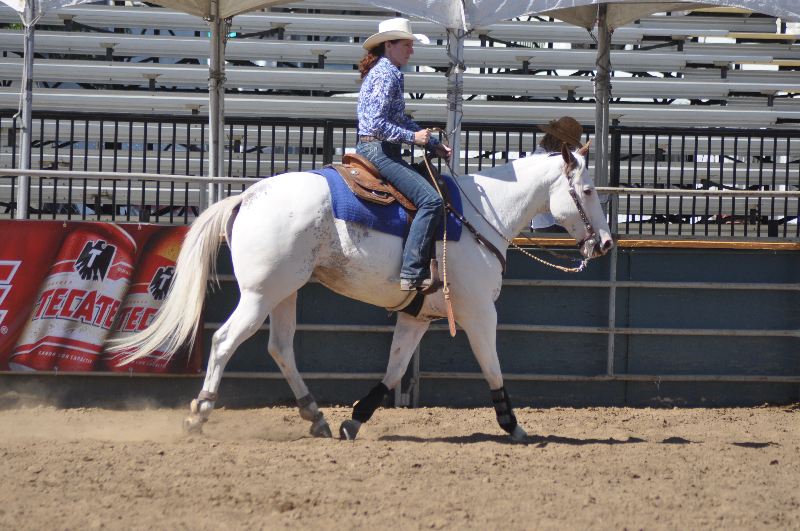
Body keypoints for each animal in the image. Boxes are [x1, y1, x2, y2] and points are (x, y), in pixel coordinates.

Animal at [111, 143, 613, 443]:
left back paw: (316, 416)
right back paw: (199, 413)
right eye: (588, 190)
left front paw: (355, 418)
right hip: (257, 294)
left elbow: (393, 371)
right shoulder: (478, 313)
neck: (481, 216)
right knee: (223, 341)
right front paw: (514, 426)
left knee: (280, 348)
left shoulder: (416, 317)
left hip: (284, 293)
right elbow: (492, 367)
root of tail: (246, 197)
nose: (606, 243)